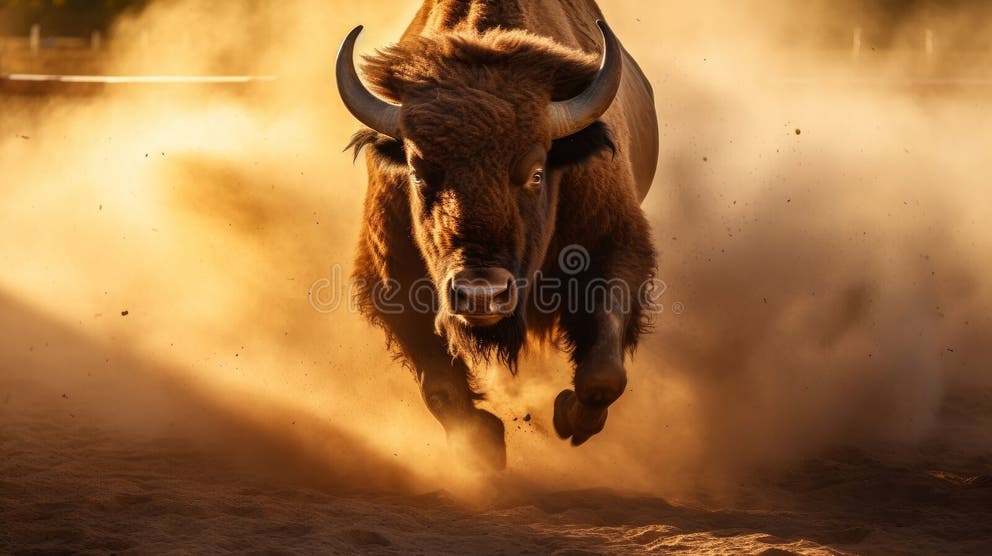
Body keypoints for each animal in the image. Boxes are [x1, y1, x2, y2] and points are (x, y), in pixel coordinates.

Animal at [337, 0, 659, 470]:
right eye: (417, 172)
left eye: (537, 172)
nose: (480, 295)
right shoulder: (392, 279)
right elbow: (440, 387)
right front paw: (484, 448)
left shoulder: (614, 250)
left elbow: (603, 374)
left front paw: (569, 419)